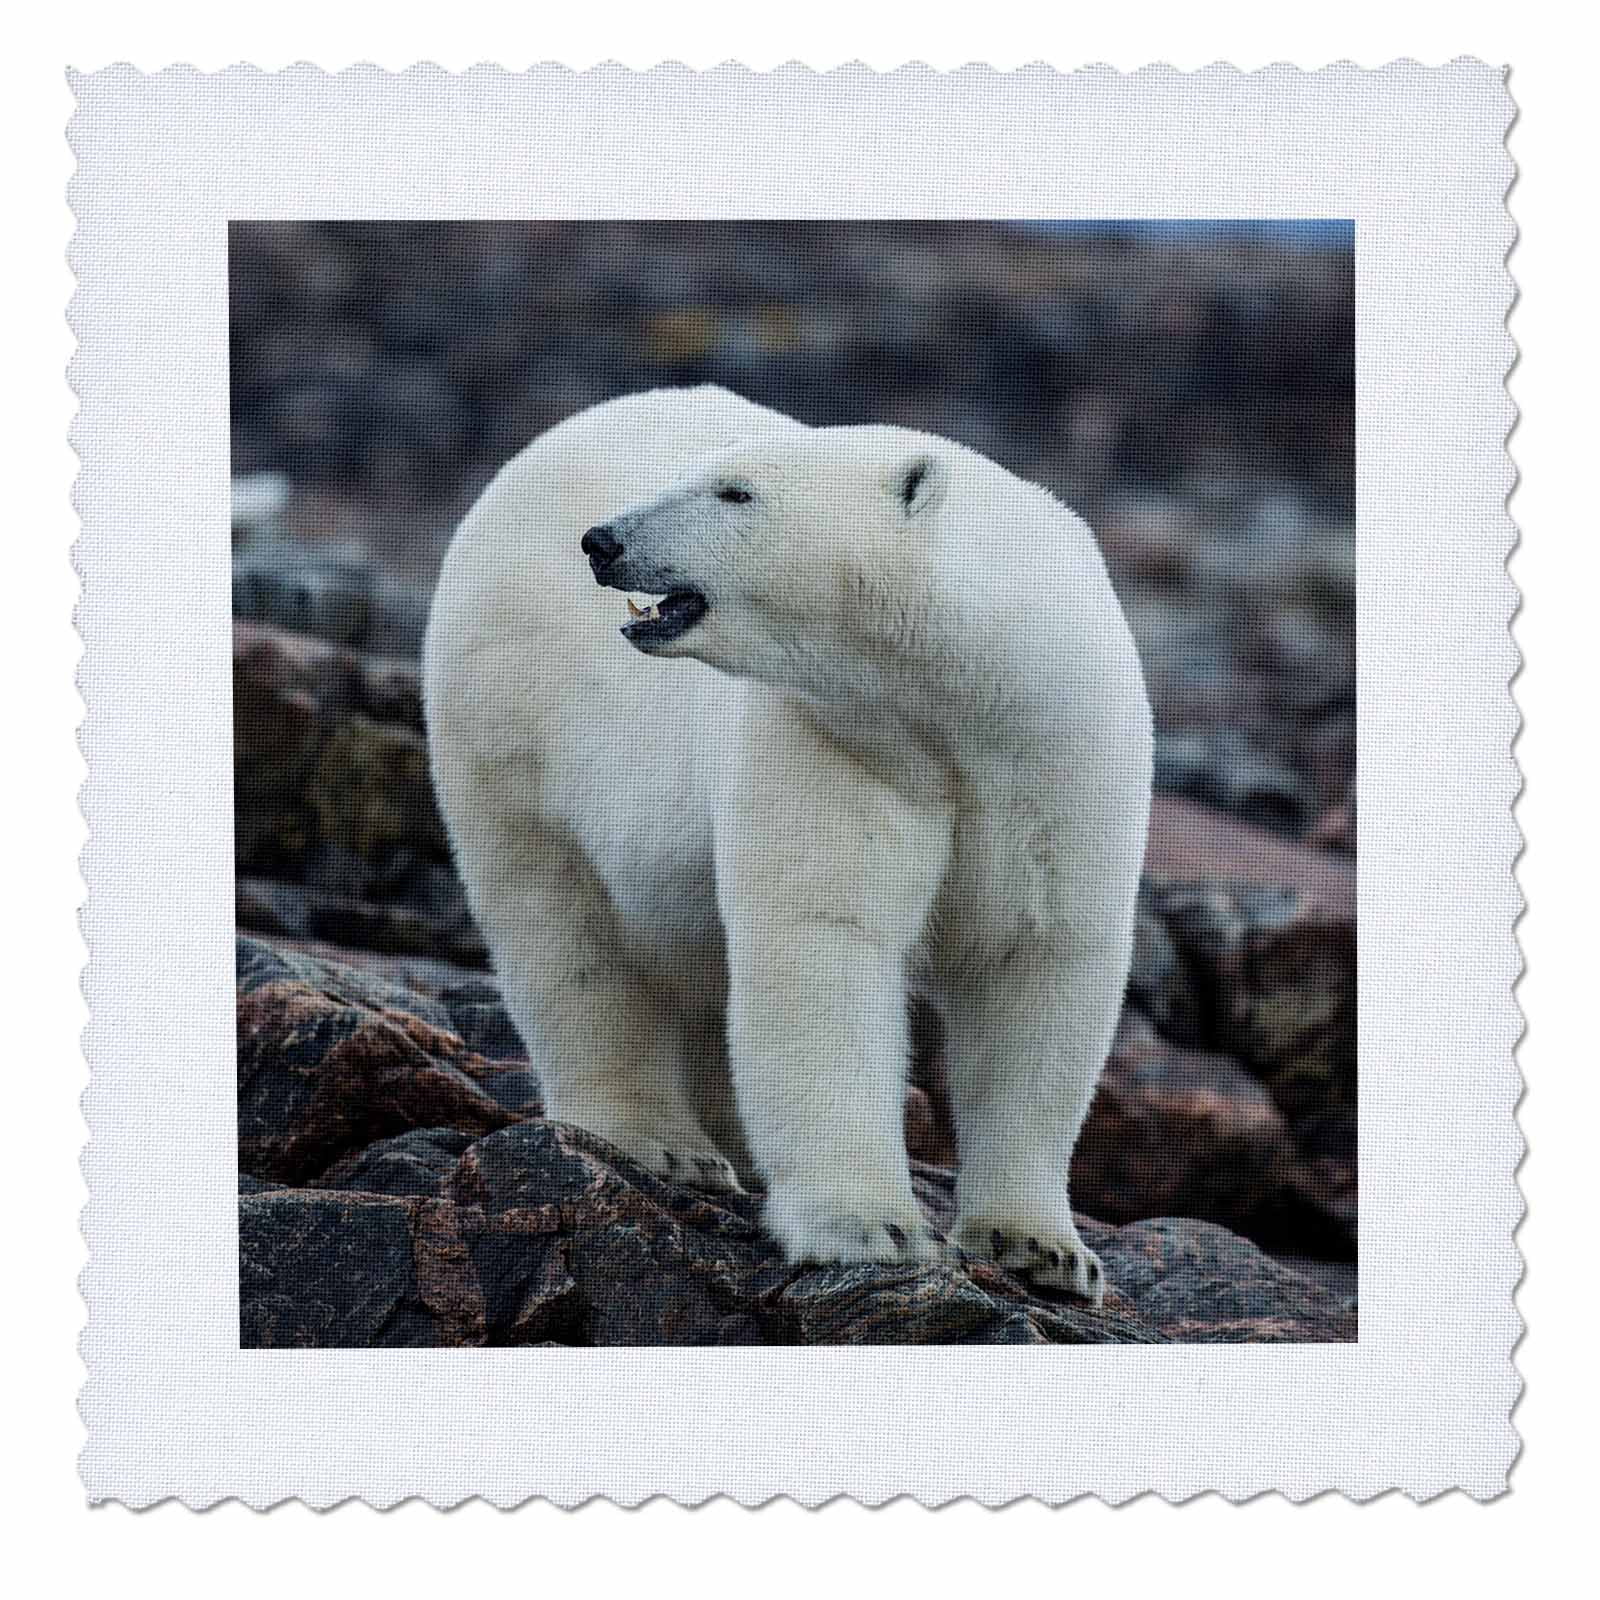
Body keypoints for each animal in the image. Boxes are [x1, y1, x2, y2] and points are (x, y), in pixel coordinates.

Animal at [422, 385, 1152, 1302]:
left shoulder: (1060, 763)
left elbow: (1038, 962)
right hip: (510, 725)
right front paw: (868, 1229)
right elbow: (824, 943)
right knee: (563, 933)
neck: (962, 705)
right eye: (703, 476)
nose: (603, 541)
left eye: (734, 492)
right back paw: (660, 1141)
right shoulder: (833, 740)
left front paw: (1045, 1251)